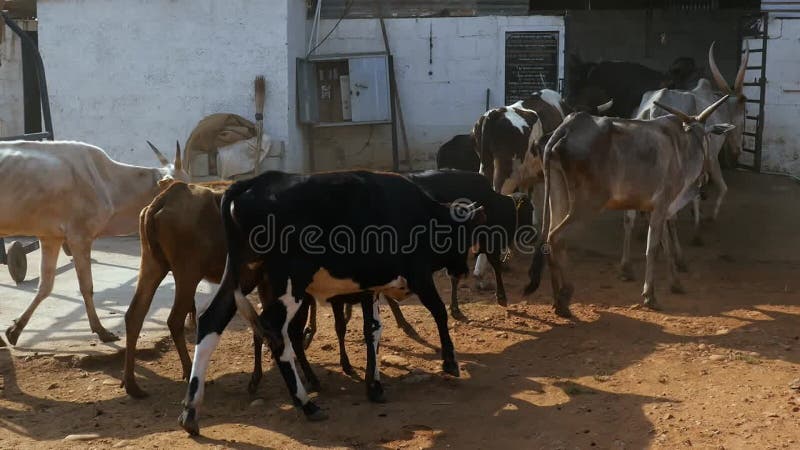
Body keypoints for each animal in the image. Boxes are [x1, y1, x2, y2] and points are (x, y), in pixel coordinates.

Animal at [0, 140, 188, 345]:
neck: (106, 181)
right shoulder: (79, 237)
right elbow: (86, 287)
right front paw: (101, 330)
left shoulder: (51, 237)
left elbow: (46, 286)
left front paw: (15, 330)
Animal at [178, 170, 482, 434]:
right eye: (465, 234)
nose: (463, 270)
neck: (421, 212)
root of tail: (256, 182)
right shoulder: (419, 275)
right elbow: (439, 311)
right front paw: (450, 361)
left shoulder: (370, 287)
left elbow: (373, 330)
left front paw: (374, 384)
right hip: (289, 281)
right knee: (274, 330)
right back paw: (306, 403)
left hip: (243, 274)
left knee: (211, 322)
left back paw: (191, 409)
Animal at [523, 95, 735, 318]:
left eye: (708, 136)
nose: (705, 176)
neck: (683, 147)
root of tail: (566, 128)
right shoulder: (661, 206)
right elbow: (653, 249)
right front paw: (650, 296)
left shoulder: (658, 209)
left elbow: (666, 246)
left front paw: (676, 284)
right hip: (588, 203)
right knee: (557, 237)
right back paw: (564, 296)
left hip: (558, 194)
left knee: (549, 237)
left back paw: (557, 299)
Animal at [619, 42, 750, 280]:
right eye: (744, 110)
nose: (737, 151)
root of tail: (651, 109)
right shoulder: (708, 160)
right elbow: (719, 189)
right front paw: (702, 225)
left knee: (631, 215)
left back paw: (628, 262)